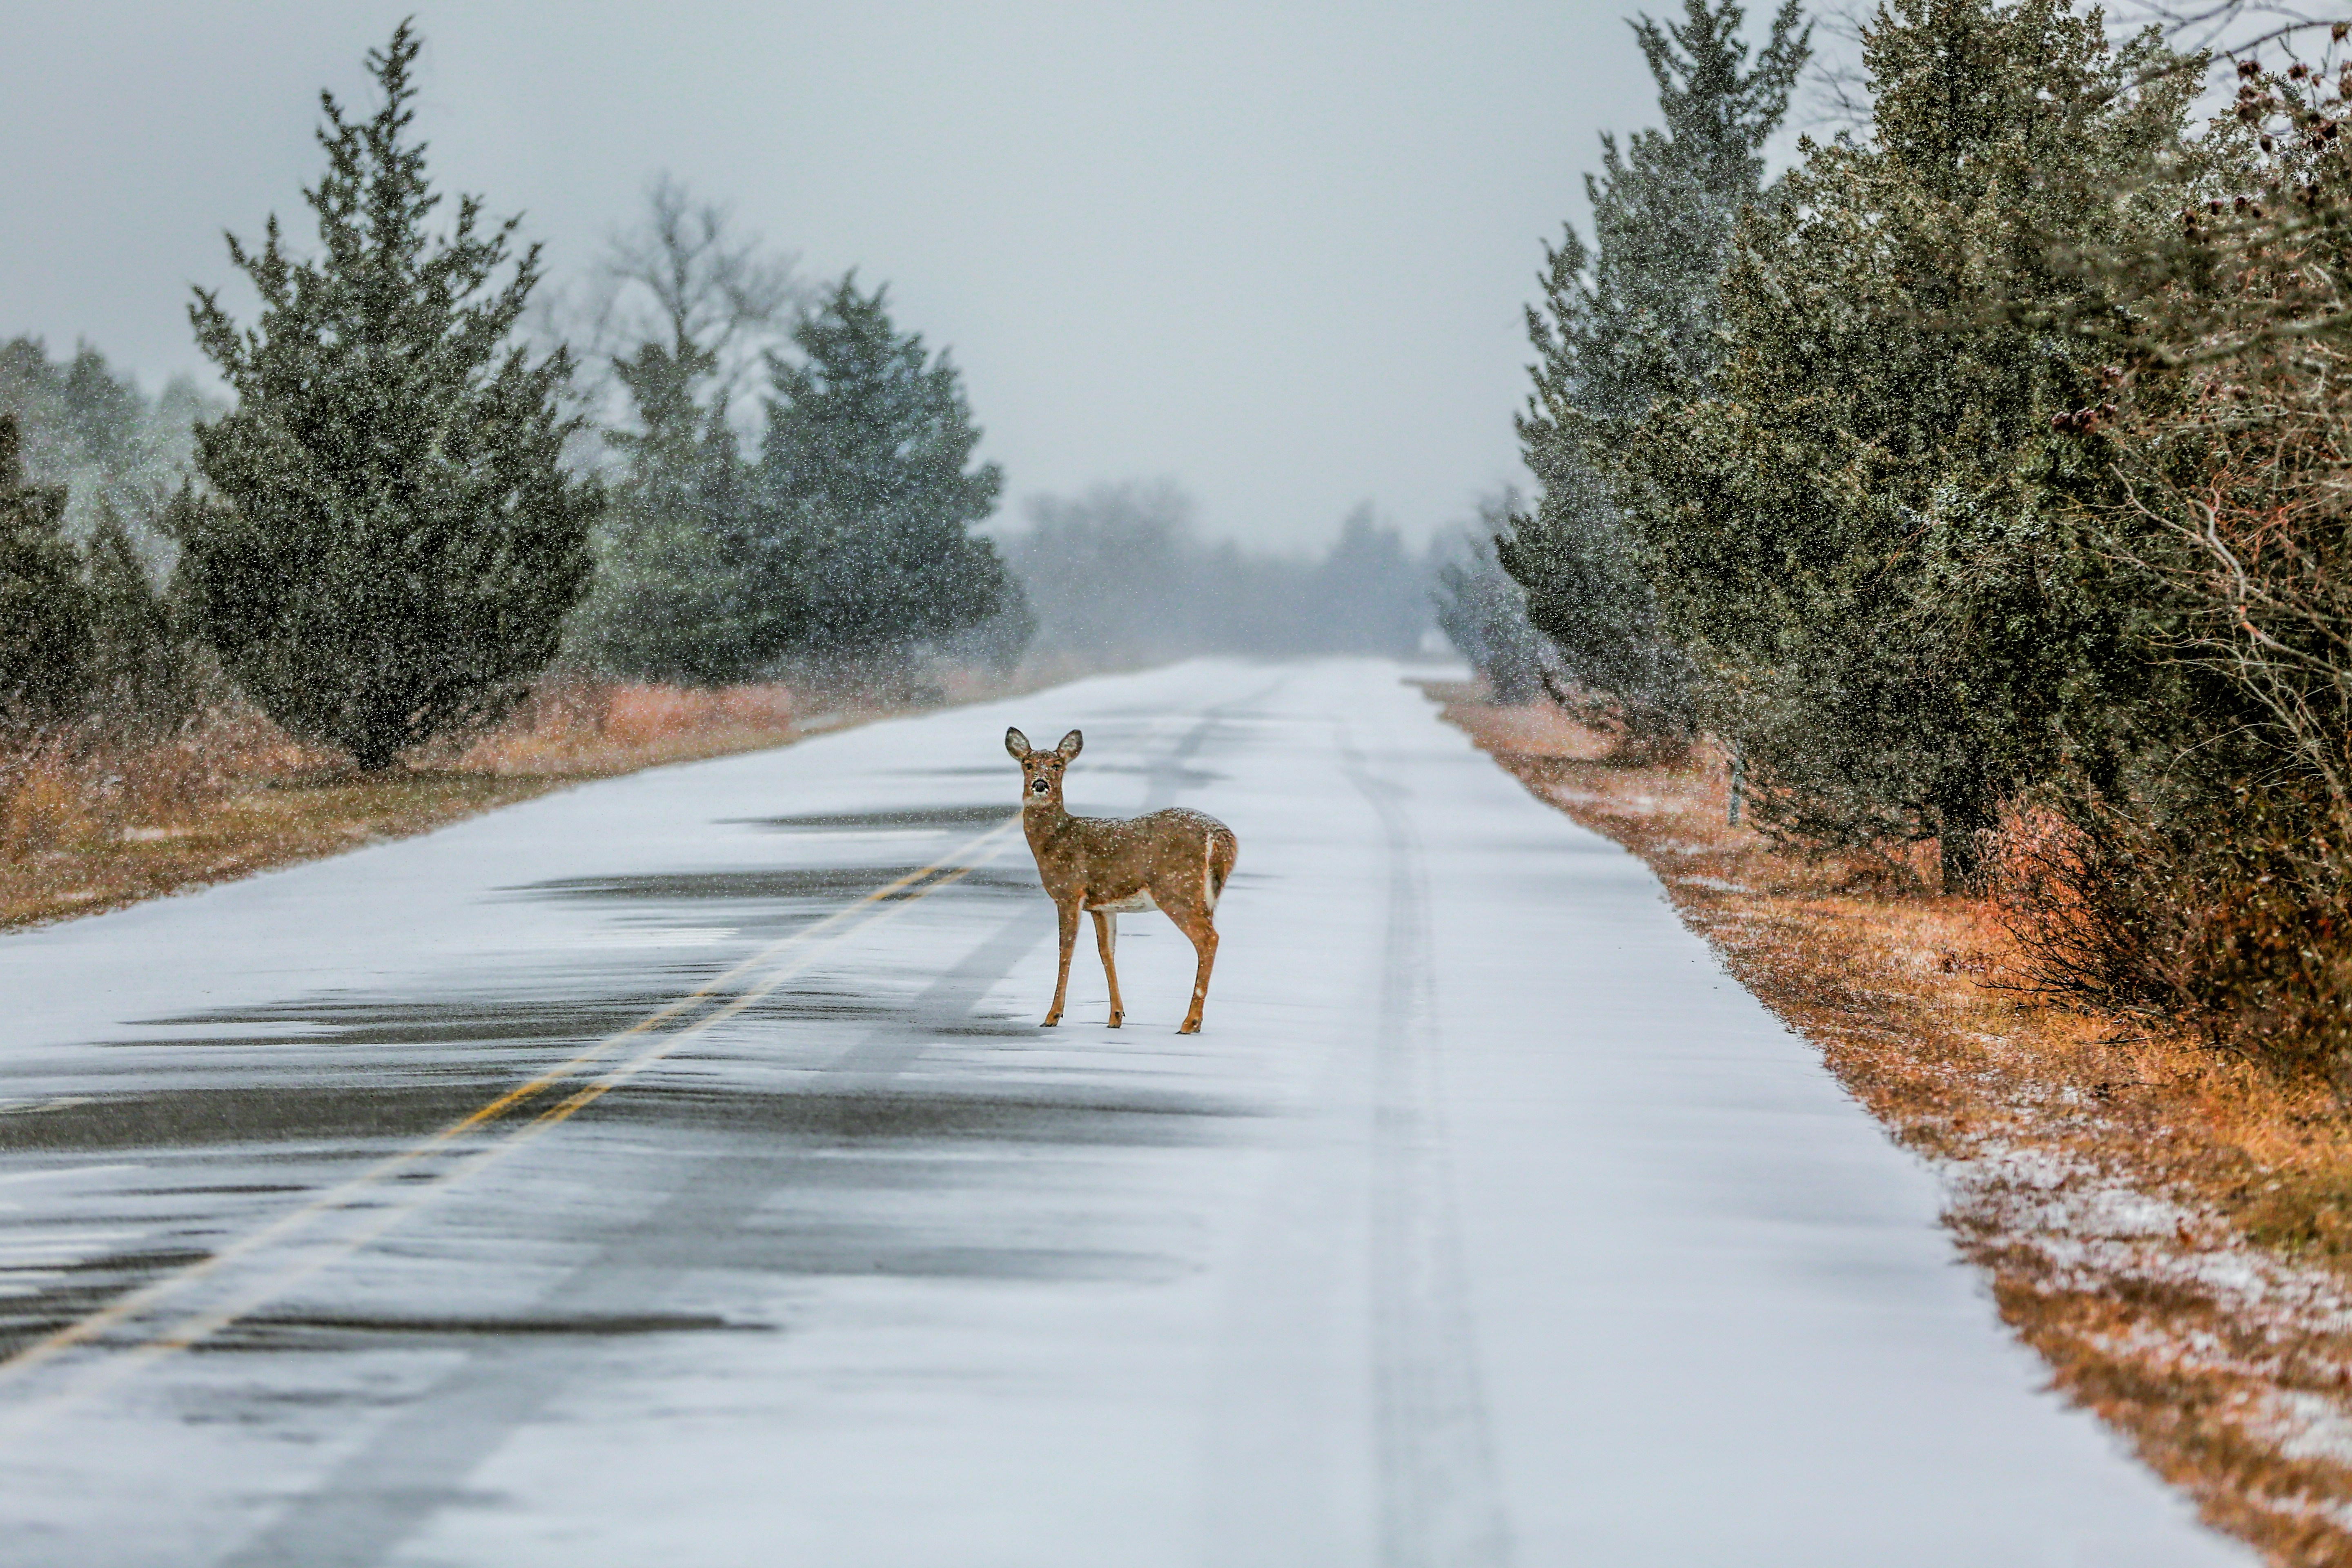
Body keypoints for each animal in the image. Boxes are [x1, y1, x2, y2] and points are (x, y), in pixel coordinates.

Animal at [1004, 727, 1239, 1034]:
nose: (1040, 784)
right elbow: (1107, 953)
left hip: (1177, 889)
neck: (1056, 840)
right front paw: (1116, 1016)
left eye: (1057, 765)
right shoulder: (1101, 906)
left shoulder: (1069, 892)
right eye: (1028, 764)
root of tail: (1221, 837)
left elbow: (1066, 951)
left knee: (1209, 939)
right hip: (1204, 898)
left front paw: (1052, 1016)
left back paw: (1190, 1022)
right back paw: (1194, 1022)